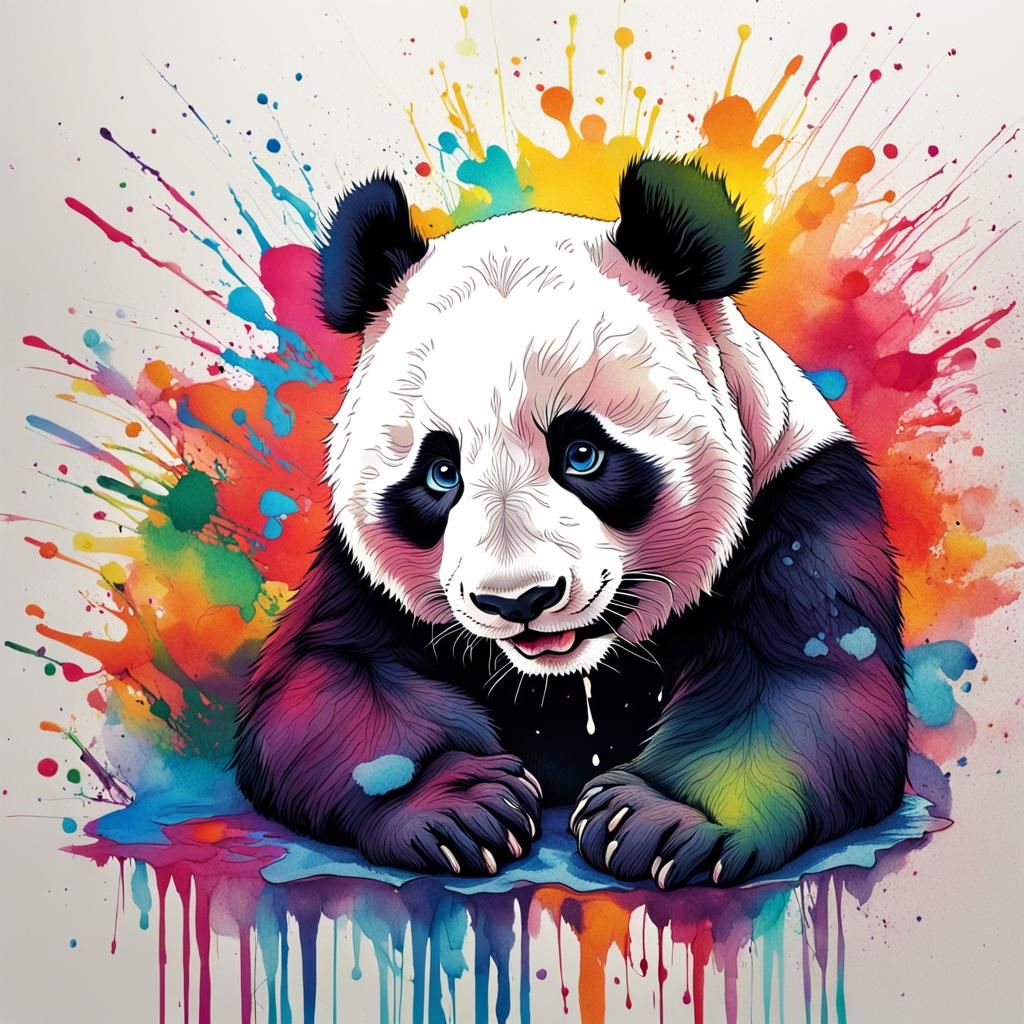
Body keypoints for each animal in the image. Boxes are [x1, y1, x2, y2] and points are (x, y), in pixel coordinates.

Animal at [233, 157, 908, 889]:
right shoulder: (360, 578)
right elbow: (328, 684)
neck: (569, 676)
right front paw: (463, 807)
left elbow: (801, 683)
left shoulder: (800, 505)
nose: (518, 600)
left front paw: (656, 821)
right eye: (441, 472)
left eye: (581, 453)